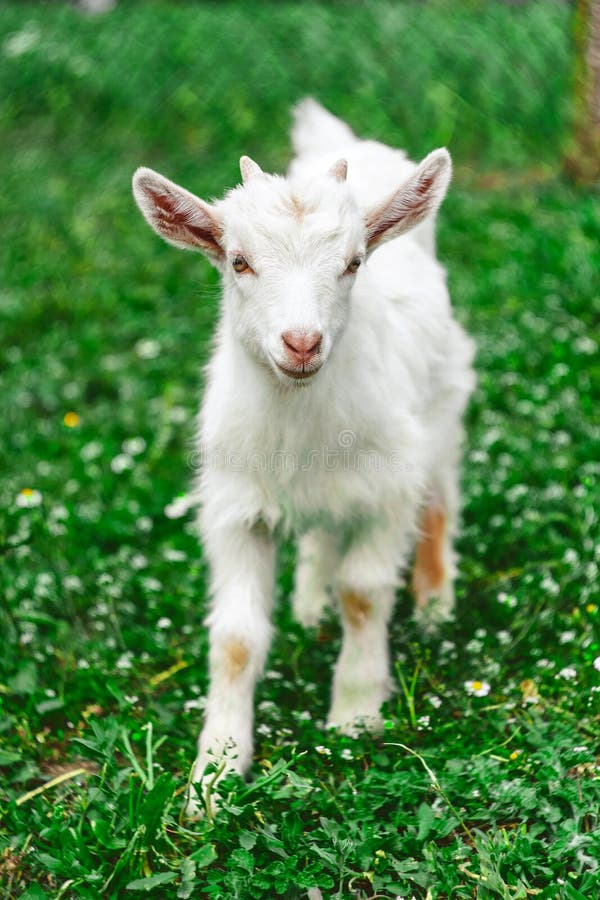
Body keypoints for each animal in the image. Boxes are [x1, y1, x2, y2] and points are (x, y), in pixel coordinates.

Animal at [132, 99, 476, 814]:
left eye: (354, 262)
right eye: (238, 262)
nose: (301, 343)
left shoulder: (386, 489)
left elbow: (365, 594)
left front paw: (355, 715)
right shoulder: (237, 507)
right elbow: (236, 639)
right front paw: (214, 775)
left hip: (444, 410)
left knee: (440, 501)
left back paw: (435, 602)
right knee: (321, 536)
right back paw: (311, 601)